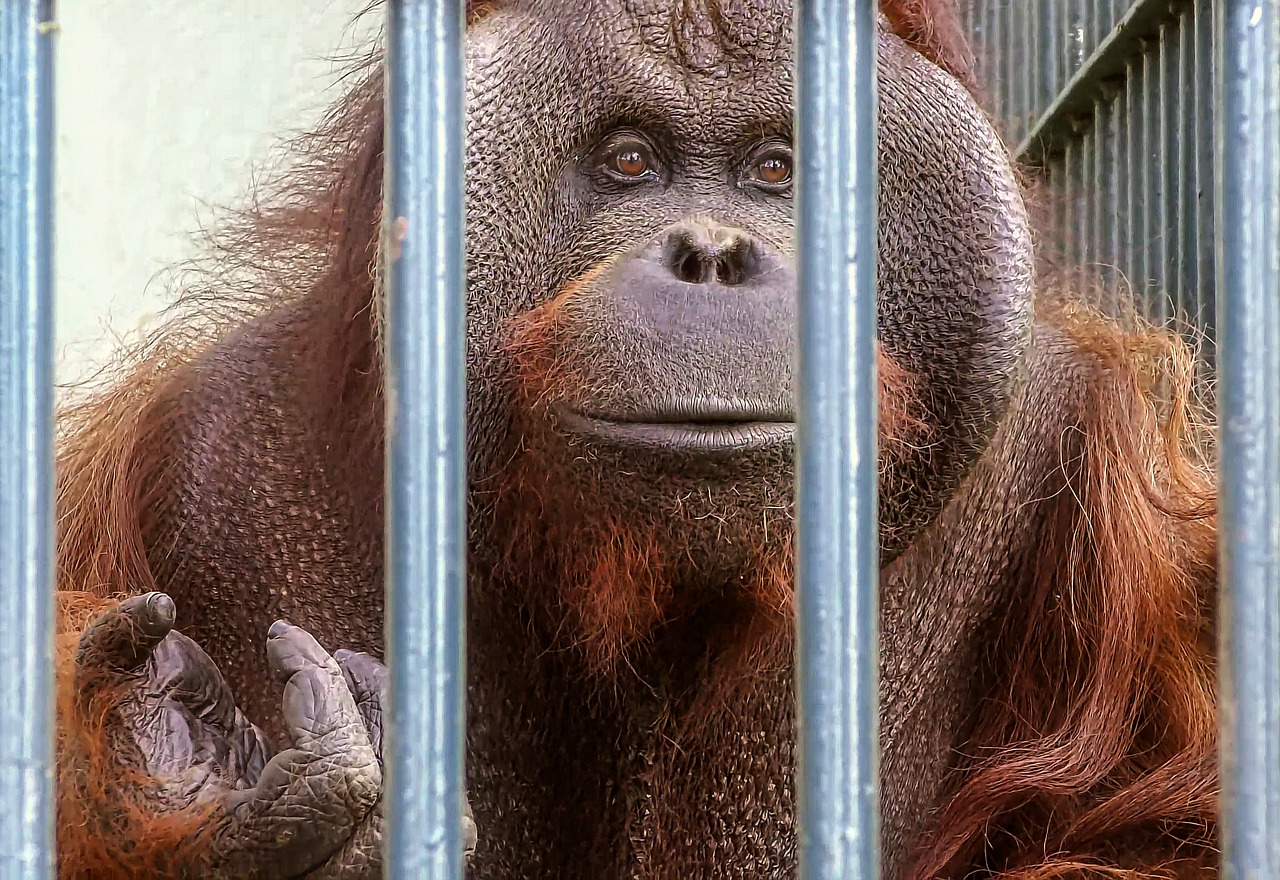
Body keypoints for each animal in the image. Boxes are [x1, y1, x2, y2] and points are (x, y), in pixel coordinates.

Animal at [52, 0, 1219, 877]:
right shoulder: (187, 437)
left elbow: (1135, 824)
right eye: (628, 160)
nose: (709, 251)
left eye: (775, 168)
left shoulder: (1093, 455)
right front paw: (188, 772)